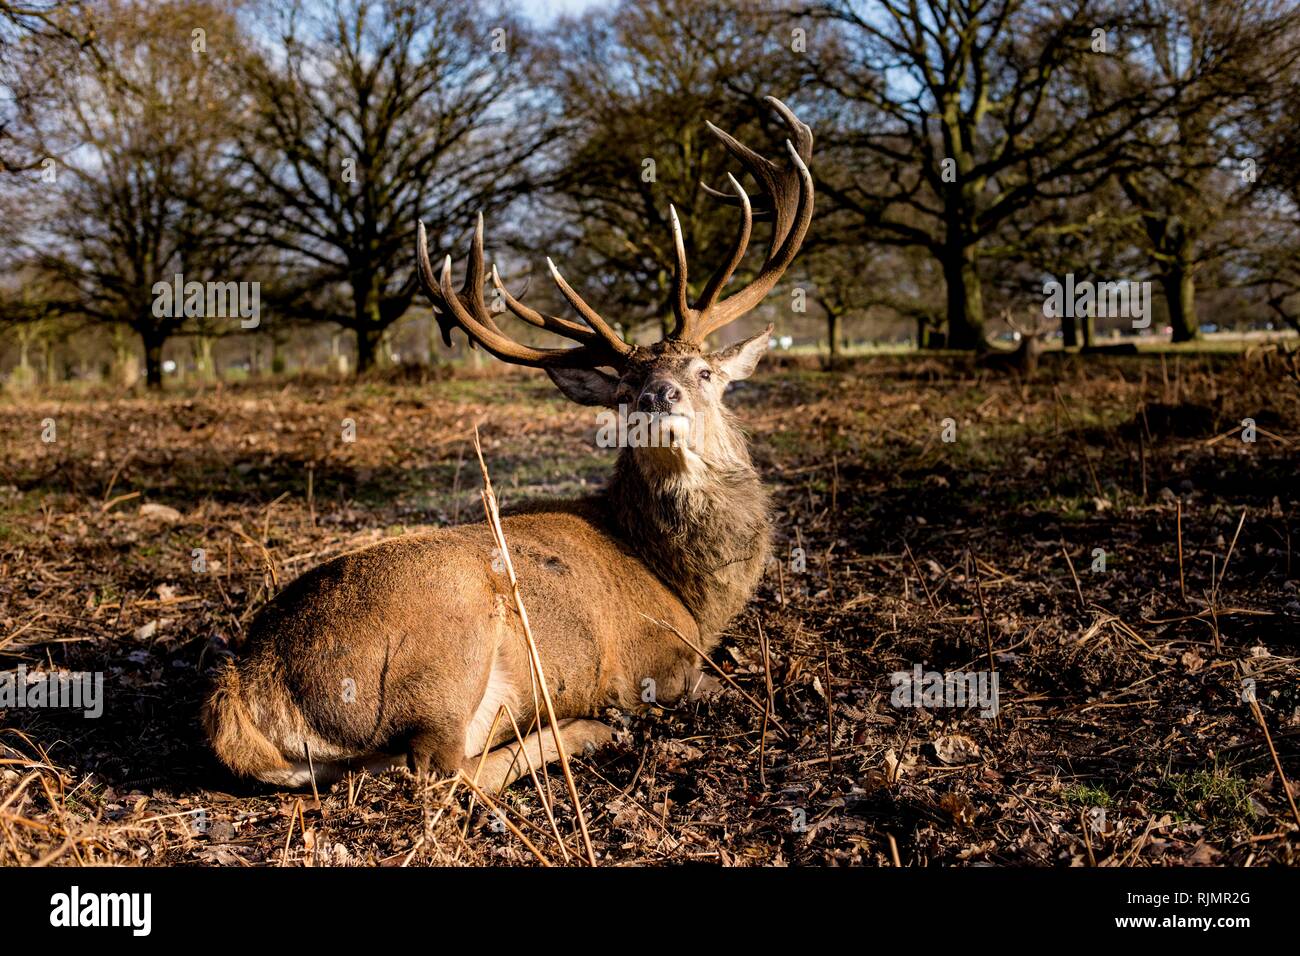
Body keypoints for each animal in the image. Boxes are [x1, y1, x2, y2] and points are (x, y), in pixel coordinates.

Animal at [203, 97, 814, 794]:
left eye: (705, 372)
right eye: (624, 388)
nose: (658, 397)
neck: (691, 592)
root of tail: (247, 686)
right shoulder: (659, 657)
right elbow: (717, 684)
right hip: (443, 643)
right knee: (440, 769)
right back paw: (588, 728)